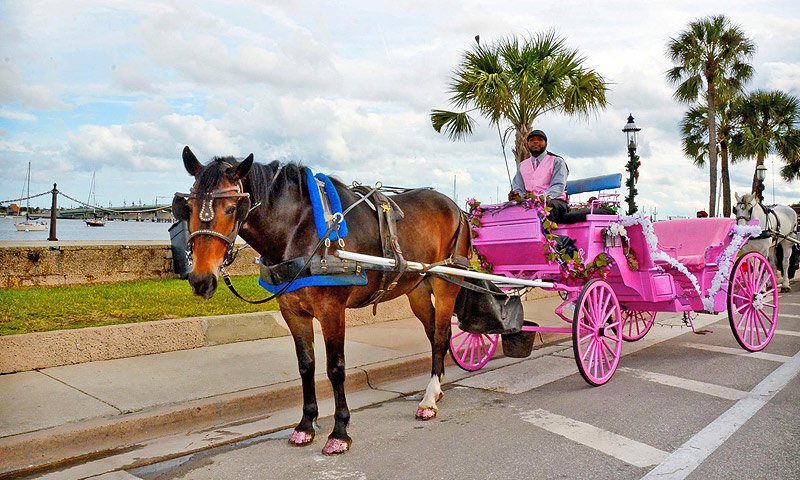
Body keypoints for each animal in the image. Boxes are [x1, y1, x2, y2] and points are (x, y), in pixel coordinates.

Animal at [174, 146, 468, 454]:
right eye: (189, 208)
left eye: (232, 209)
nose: (200, 279)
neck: (298, 229)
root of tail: (456, 207)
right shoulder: (292, 310)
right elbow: (306, 365)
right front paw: (306, 424)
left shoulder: (331, 309)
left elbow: (335, 368)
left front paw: (339, 431)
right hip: (417, 289)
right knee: (435, 332)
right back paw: (437, 387)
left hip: (446, 282)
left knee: (440, 337)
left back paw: (429, 398)